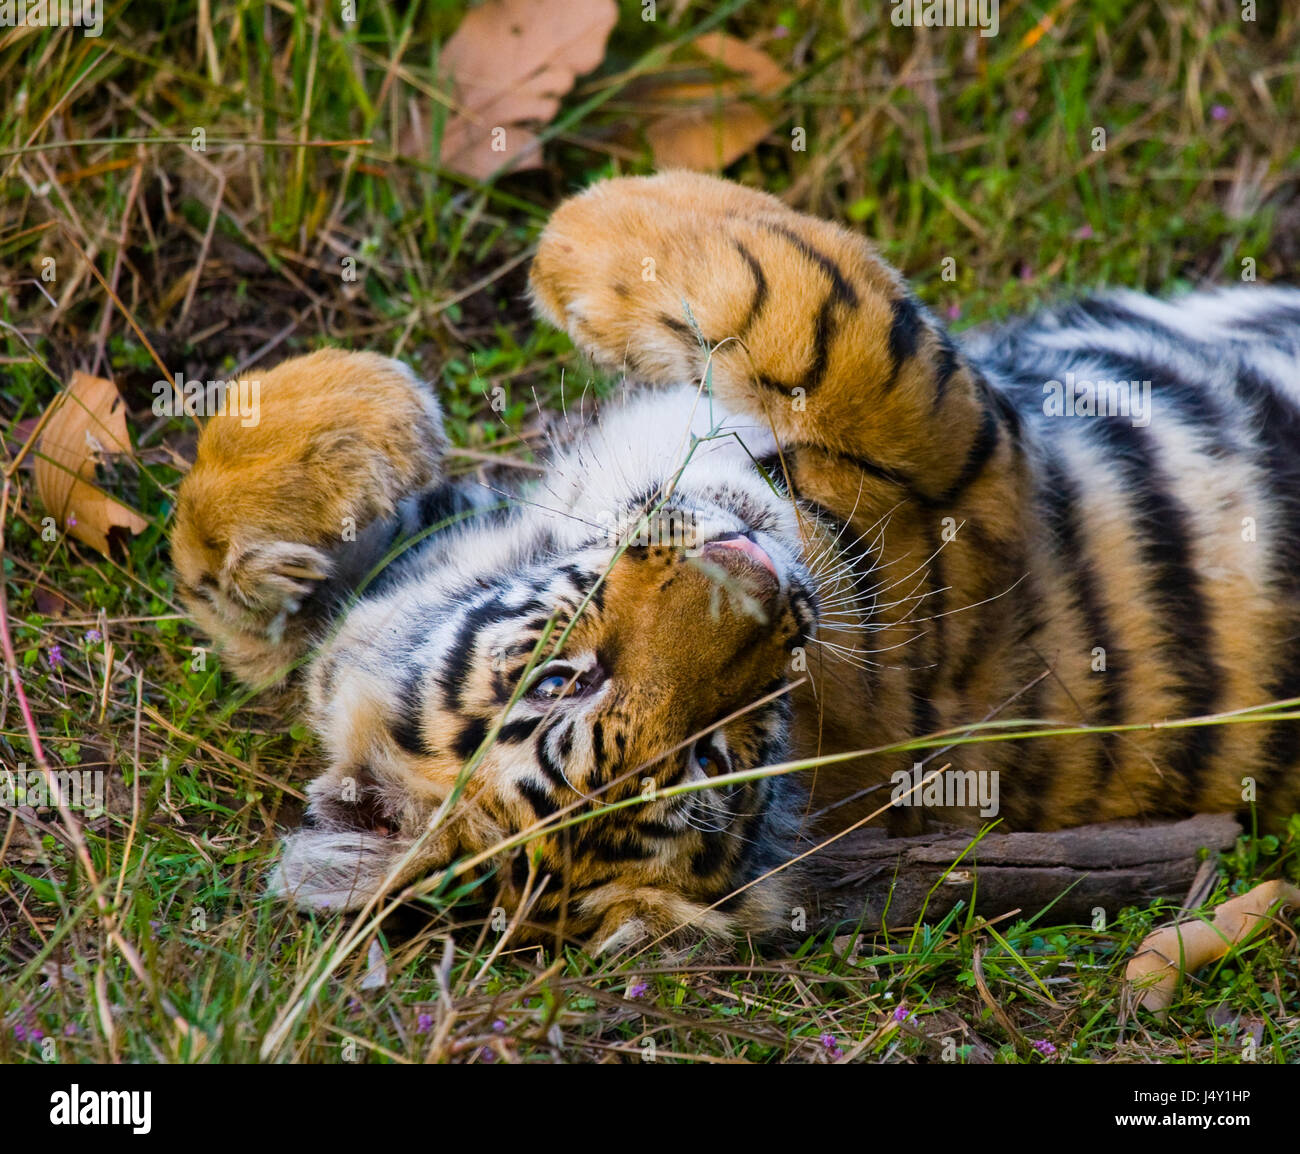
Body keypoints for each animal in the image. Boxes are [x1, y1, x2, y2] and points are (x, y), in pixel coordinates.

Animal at [171, 171, 1300, 953]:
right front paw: (577, 245)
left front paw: (349, 420)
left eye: (561, 678)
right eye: (712, 757)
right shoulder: (970, 498)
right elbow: (821, 317)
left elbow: (224, 584)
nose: (753, 584)